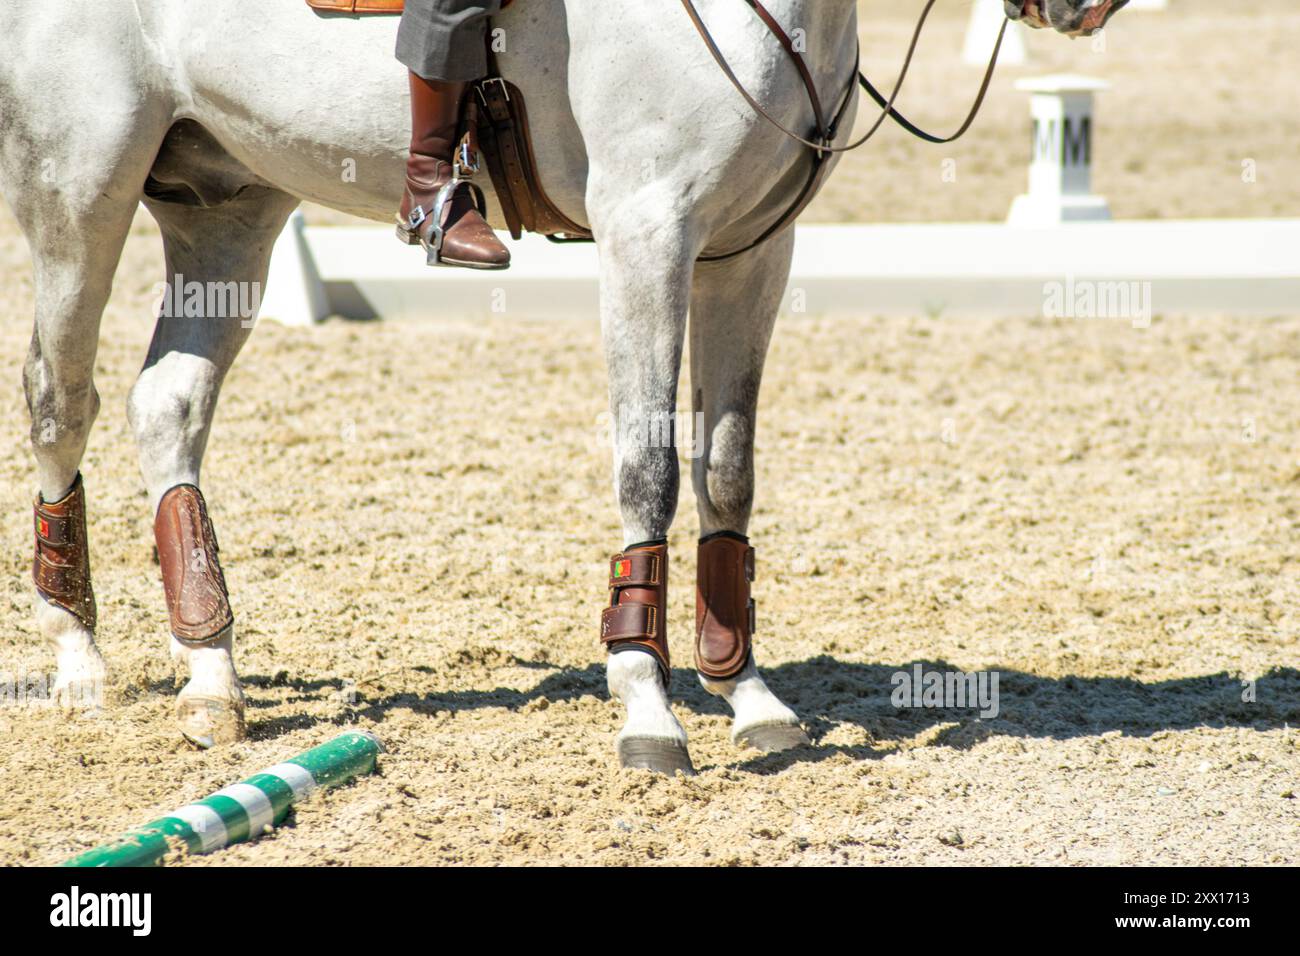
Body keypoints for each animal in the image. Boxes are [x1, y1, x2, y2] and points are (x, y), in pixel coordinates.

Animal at [0, 0, 1115, 769]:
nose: (1086, 8)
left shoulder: (750, 252)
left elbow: (727, 468)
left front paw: (747, 693)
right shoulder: (647, 233)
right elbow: (649, 466)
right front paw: (648, 705)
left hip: (227, 202)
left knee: (167, 405)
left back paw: (211, 675)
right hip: (80, 188)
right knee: (60, 399)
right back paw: (79, 660)